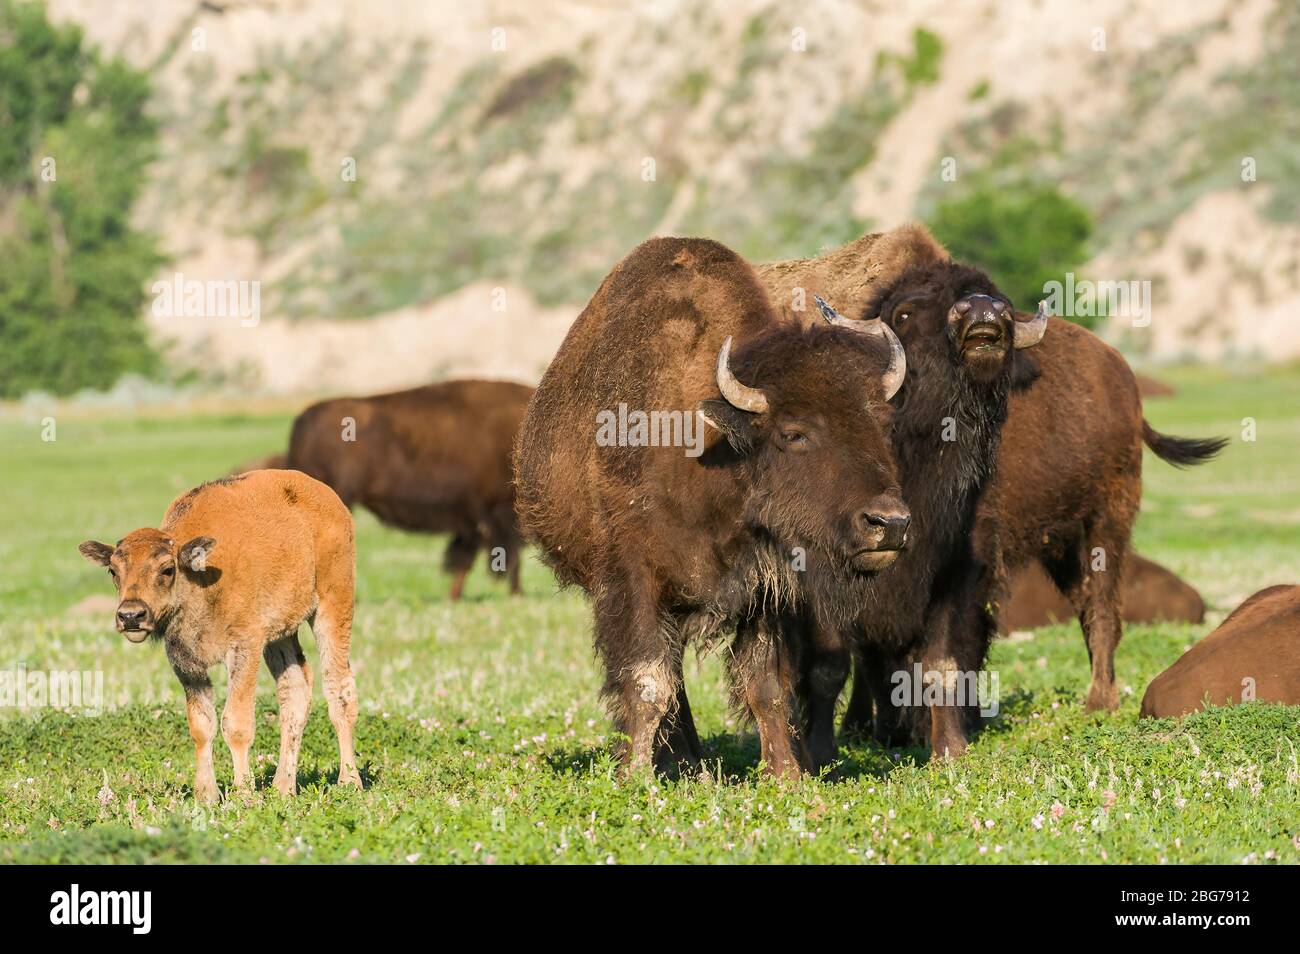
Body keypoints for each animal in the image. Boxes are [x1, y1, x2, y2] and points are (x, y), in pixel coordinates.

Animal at [287, 379, 533, 600]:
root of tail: (303, 421)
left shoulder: (474, 520)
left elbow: (467, 559)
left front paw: (455, 596)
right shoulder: (495, 513)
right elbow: (506, 557)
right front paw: (517, 593)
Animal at [515, 237, 909, 777]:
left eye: (883, 425)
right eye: (793, 433)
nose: (888, 523)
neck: (711, 449)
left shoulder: (763, 591)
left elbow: (766, 685)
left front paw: (786, 777)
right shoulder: (634, 582)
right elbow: (646, 683)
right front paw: (634, 776)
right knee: (670, 680)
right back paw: (679, 761)